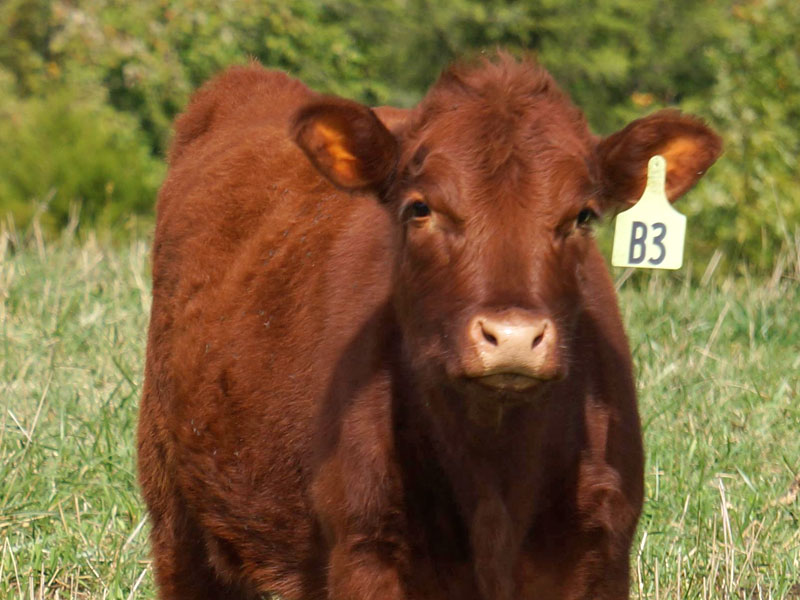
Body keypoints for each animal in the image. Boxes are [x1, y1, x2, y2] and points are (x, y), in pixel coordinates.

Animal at [138, 52, 721, 600]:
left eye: (582, 216)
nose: (513, 337)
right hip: (175, 512)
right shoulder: (364, 550)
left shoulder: (602, 549)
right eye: (420, 208)